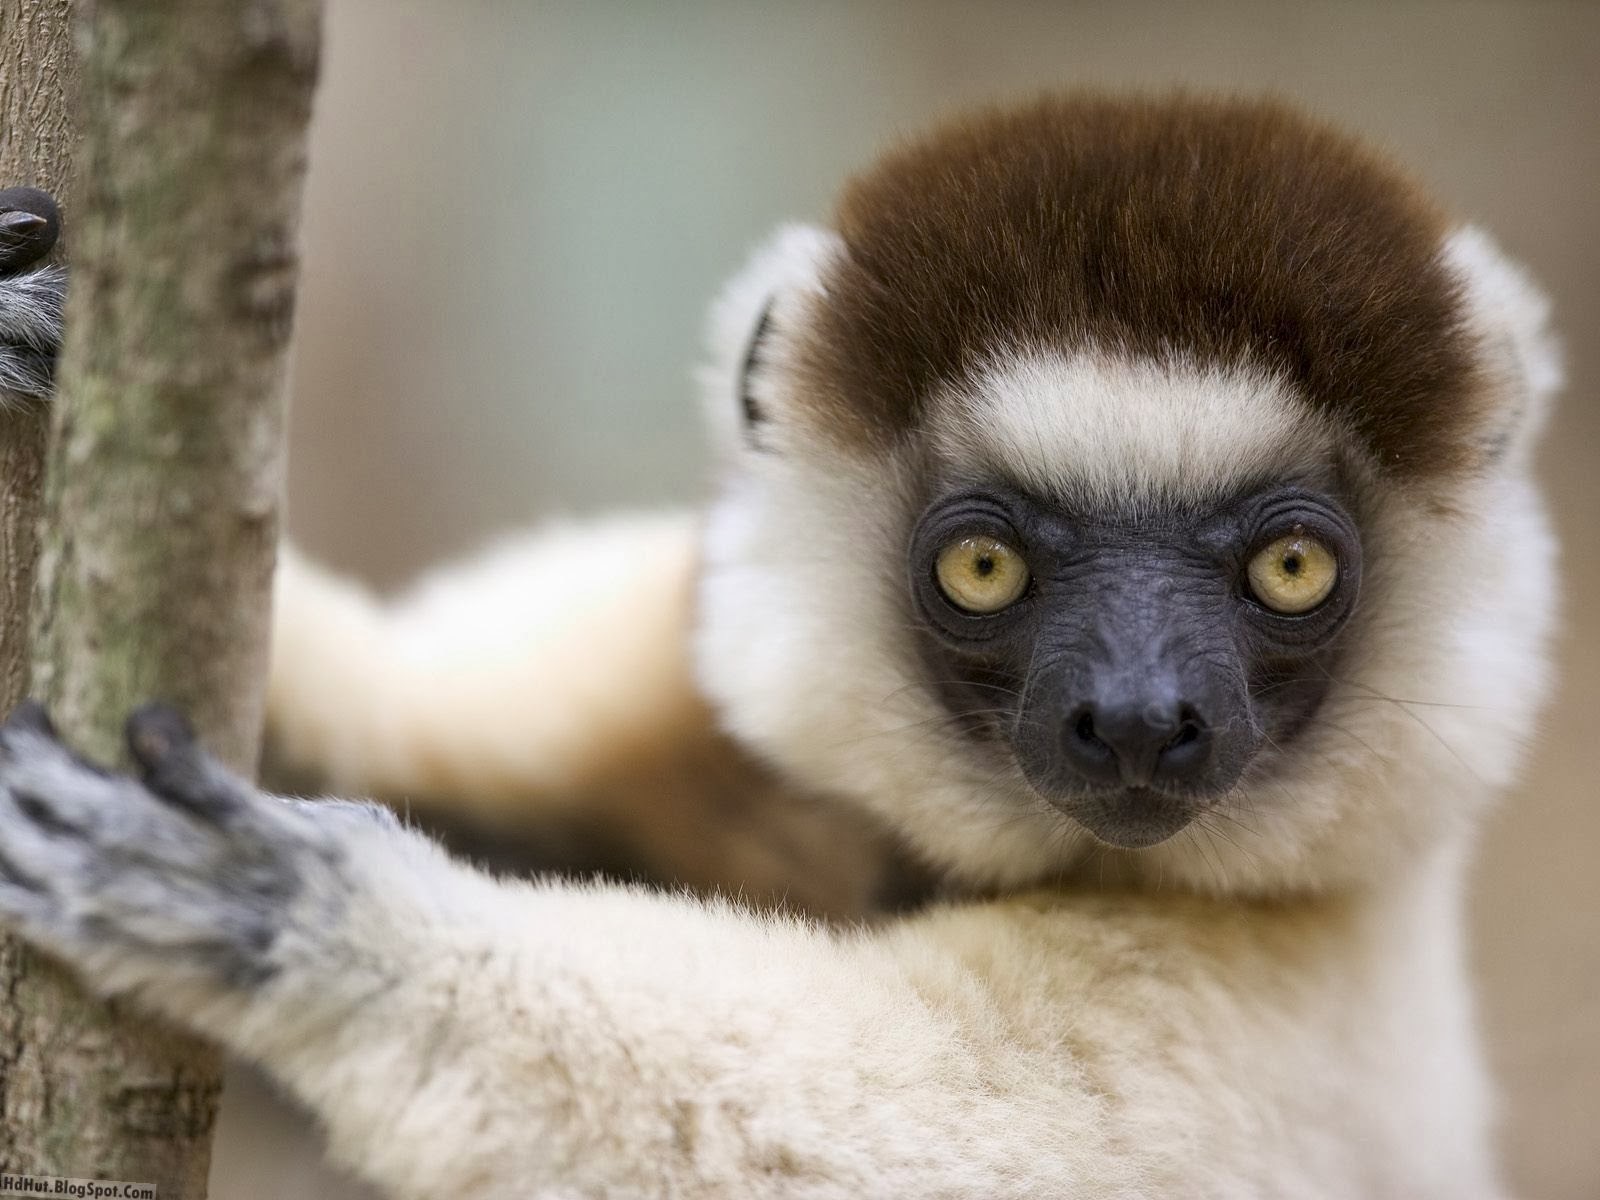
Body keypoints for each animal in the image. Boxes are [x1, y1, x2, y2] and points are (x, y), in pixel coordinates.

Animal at [0, 92, 1561, 1198]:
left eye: (1290, 570)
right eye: (984, 566)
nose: (1134, 718)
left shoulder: (1313, 1001)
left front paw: (325, 929)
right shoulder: (648, 661)